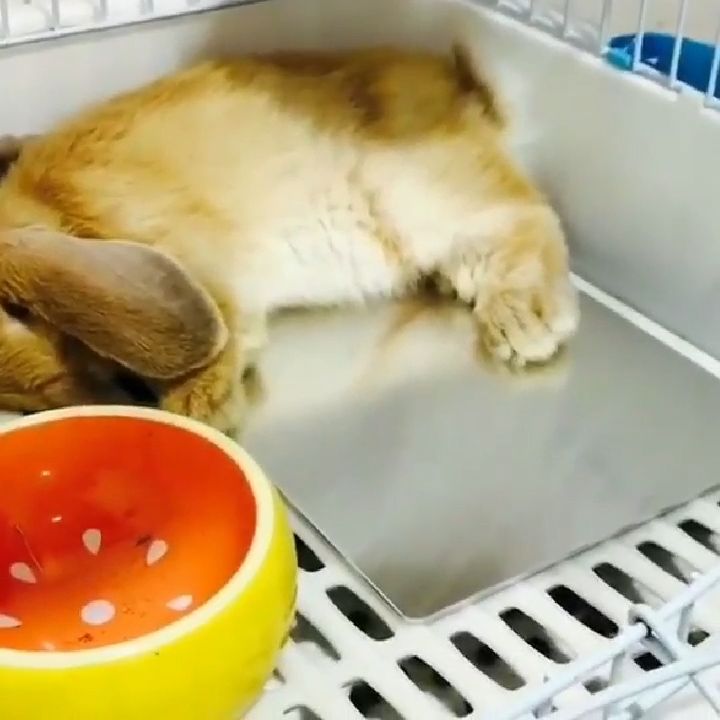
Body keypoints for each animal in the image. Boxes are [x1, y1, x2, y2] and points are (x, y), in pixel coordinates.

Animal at [0, 46, 578, 433]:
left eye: (20, 315)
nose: (92, 397)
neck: (58, 212)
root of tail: (468, 96)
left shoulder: (199, 269)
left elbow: (217, 350)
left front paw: (201, 411)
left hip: (420, 198)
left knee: (529, 218)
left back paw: (525, 325)